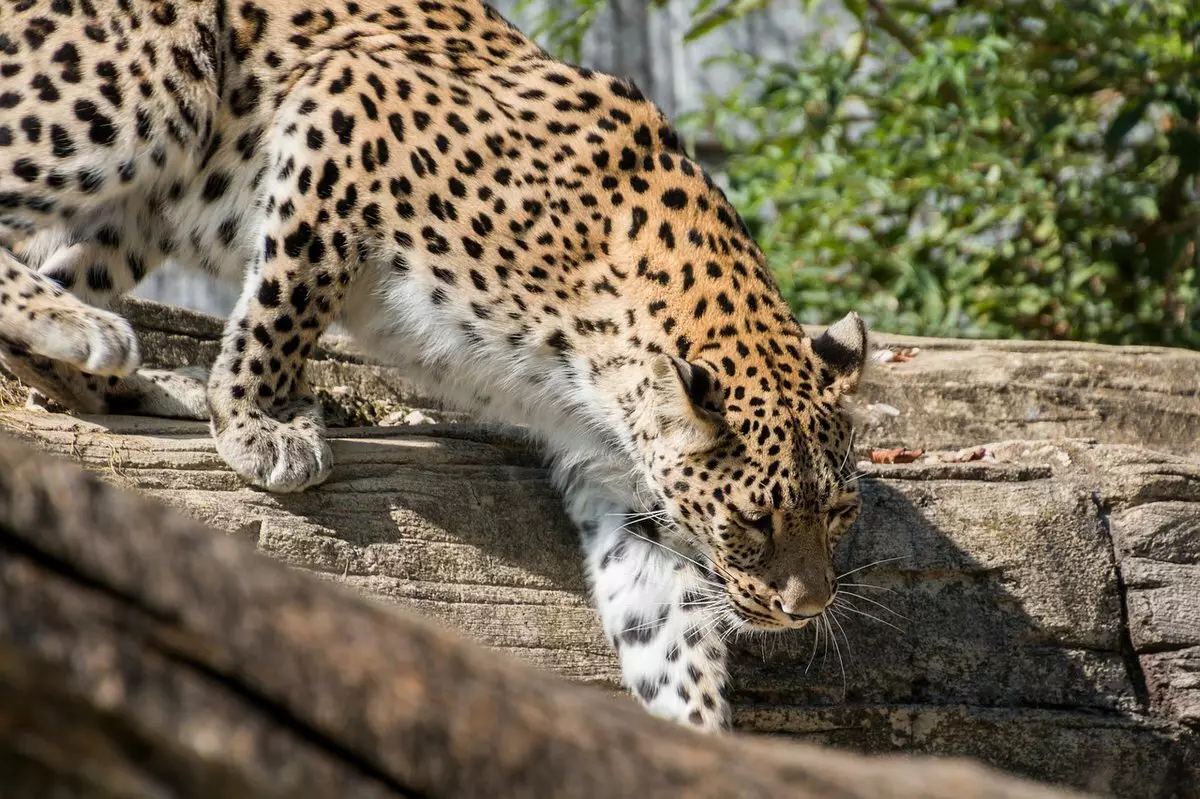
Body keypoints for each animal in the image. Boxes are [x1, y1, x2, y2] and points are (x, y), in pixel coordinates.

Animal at [0, 0, 868, 729]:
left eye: (838, 512)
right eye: (751, 521)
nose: (805, 608)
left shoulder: (622, 480)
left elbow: (666, 629)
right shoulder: (343, 112)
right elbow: (287, 299)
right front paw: (256, 423)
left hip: (140, 202)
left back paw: (137, 374)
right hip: (142, 85)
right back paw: (95, 334)